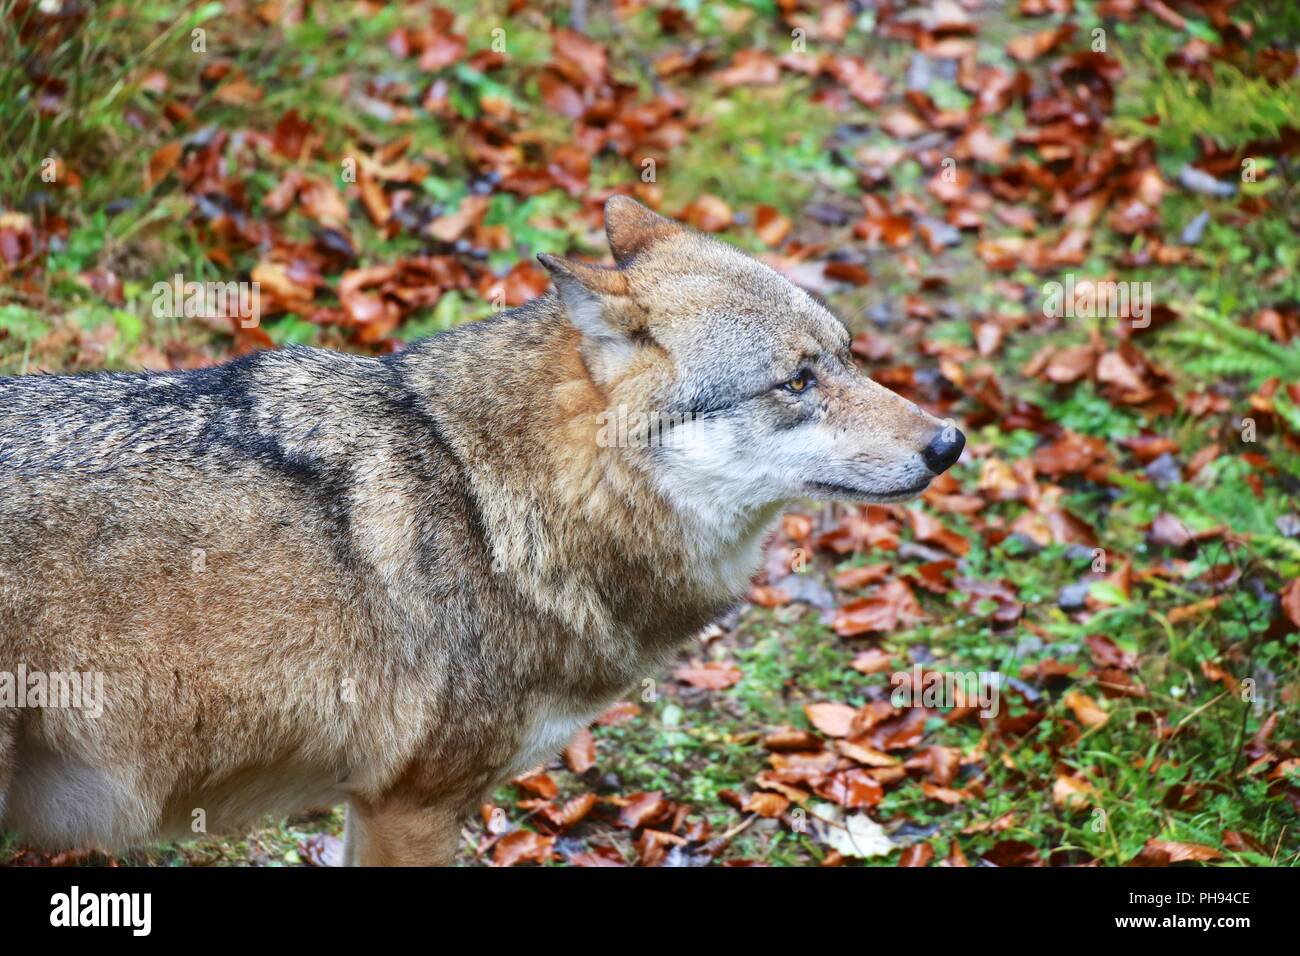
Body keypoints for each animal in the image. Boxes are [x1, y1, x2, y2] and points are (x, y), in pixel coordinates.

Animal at [0, 197, 964, 865]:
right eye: (795, 383)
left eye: (847, 358)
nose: (950, 442)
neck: (489, 499)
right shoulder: (414, 806)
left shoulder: (379, 804)